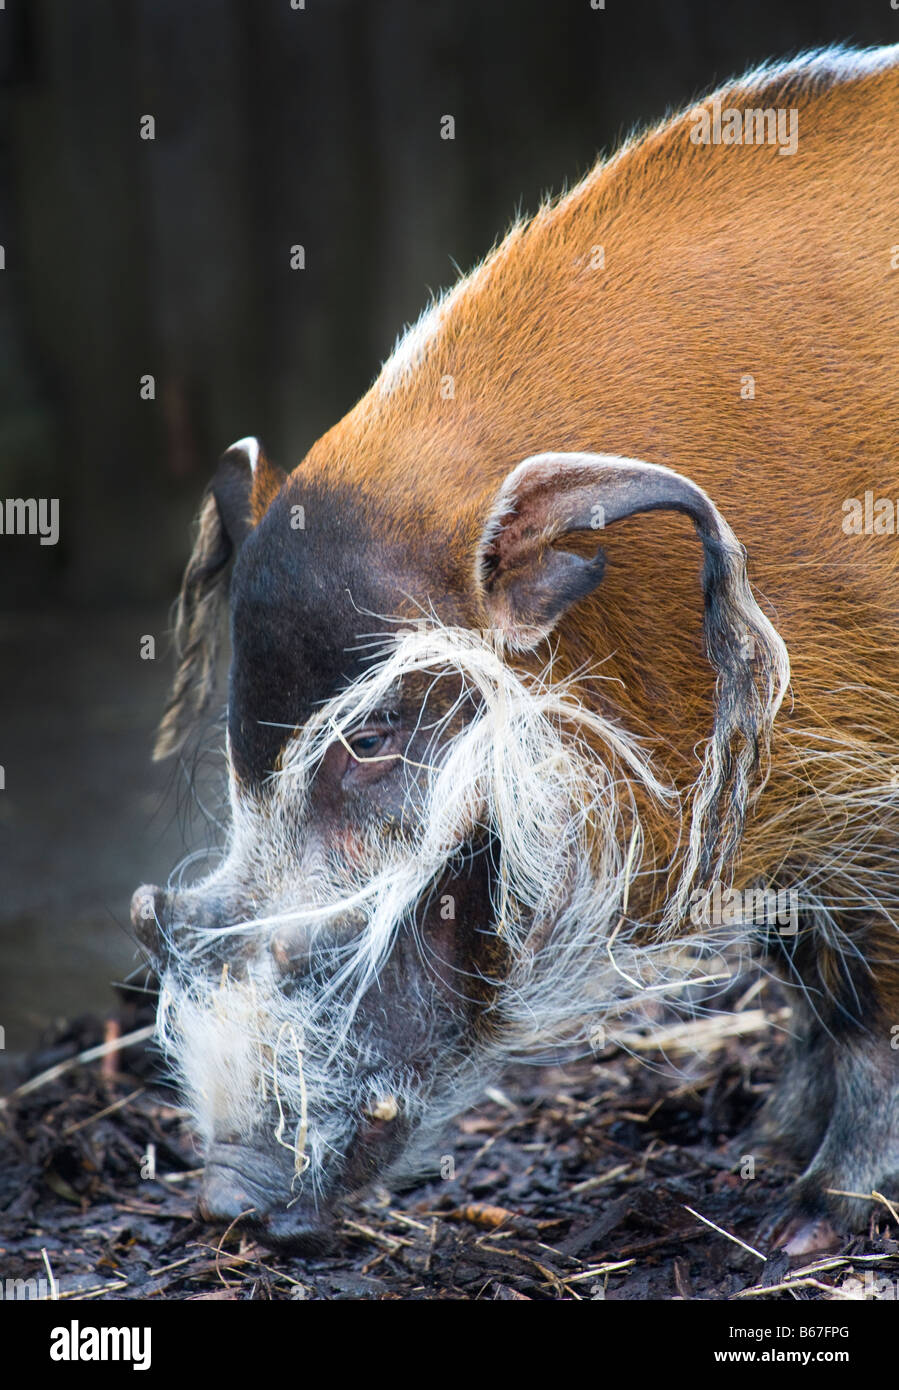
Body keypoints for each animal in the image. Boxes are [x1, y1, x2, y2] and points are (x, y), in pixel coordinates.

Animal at [133, 45, 899, 1253]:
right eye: (244, 739)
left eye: (374, 734)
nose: (229, 1200)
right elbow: (806, 981)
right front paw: (759, 1150)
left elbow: (869, 1009)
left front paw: (810, 1218)